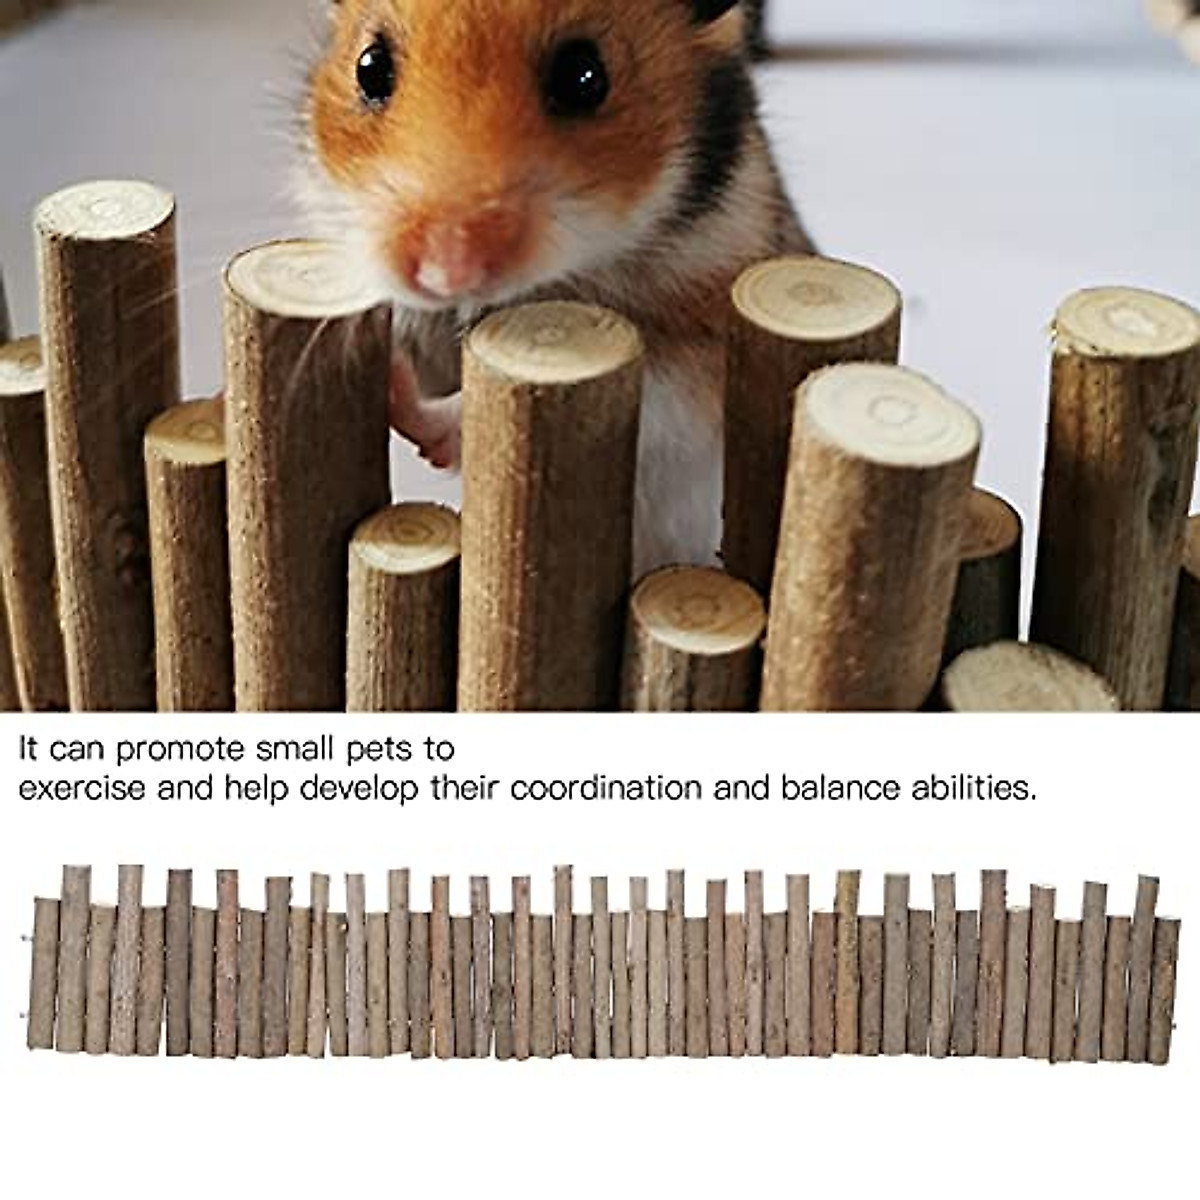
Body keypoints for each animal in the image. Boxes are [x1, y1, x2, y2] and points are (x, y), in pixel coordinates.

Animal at [301, 0, 812, 573]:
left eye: (583, 77)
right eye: (371, 68)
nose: (444, 274)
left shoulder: (699, 366)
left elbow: (648, 394)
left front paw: (413, 409)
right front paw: (387, 371)